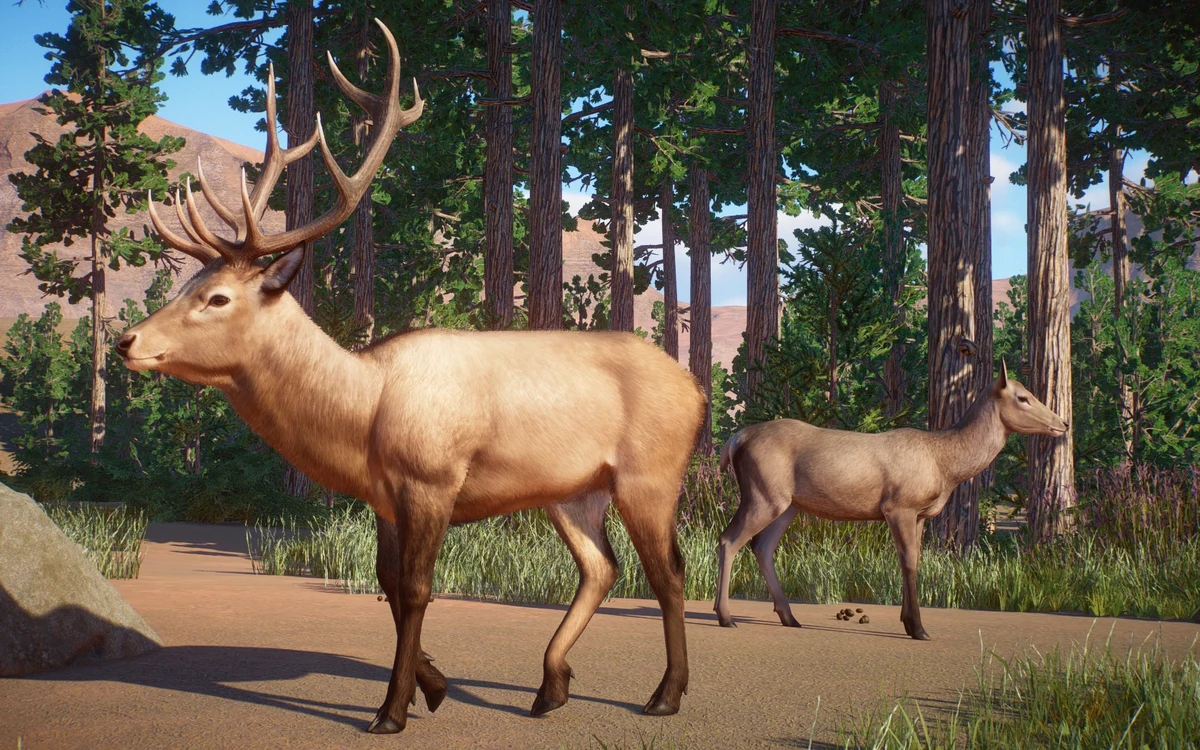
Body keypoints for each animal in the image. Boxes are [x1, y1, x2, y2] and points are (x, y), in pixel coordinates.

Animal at [116, 20, 704, 735]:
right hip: (571, 489)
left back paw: (665, 693)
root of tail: (696, 387)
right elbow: (388, 583)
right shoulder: (385, 497)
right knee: (602, 566)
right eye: (186, 283)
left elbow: (420, 589)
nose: (126, 341)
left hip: (651, 472)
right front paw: (436, 683)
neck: (362, 413)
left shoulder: (432, 479)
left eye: (218, 297)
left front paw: (391, 710)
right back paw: (551, 686)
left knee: (668, 571)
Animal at [713, 362, 1068, 640]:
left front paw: (909, 622)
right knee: (729, 539)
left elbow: (913, 560)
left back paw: (789, 616)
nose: (1062, 422)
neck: (945, 465)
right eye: (1023, 397)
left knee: (761, 546)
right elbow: (908, 560)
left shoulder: (921, 514)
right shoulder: (899, 506)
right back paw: (725, 616)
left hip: (788, 505)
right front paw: (918, 627)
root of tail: (734, 441)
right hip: (763, 494)